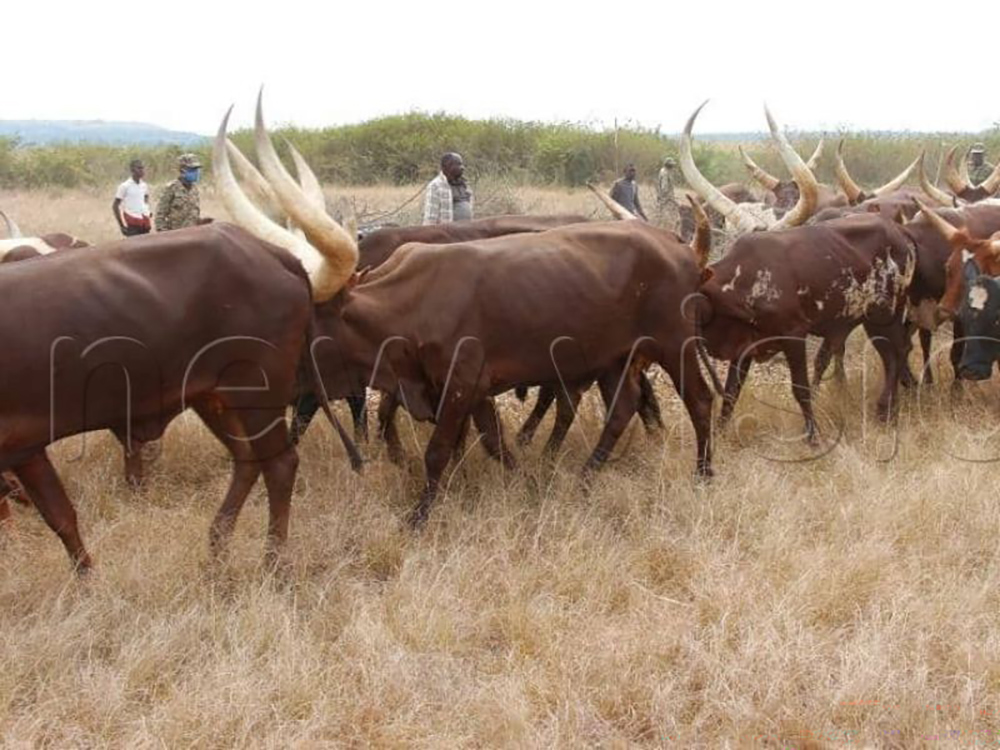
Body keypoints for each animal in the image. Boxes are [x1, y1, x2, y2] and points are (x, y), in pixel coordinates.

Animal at [0, 108, 360, 573]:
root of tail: (278, 256)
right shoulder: (24, 446)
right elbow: (61, 516)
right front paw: (88, 583)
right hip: (215, 397)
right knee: (248, 460)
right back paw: (218, 547)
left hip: (255, 392)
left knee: (280, 463)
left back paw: (273, 563)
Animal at [236, 95, 714, 525]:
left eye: (301, 324)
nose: (256, 377)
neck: (410, 303)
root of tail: (675, 244)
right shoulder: (473, 389)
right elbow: (493, 442)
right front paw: (525, 486)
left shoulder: (459, 384)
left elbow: (438, 450)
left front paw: (419, 516)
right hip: (616, 356)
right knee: (621, 408)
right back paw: (585, 475)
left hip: (674, 344)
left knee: (699, 399)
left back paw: (704, 474)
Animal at [698, 213, 917, 442]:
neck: (744, 281)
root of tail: (899, 230)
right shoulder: (744, 348)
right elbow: (731, 392)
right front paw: (718, 434)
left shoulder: (794, 335)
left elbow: (800, 389)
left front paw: (813, 436)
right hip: (871, 320)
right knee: (893, 355)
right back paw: (897, 403)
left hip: (885, 315)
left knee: (898, 353)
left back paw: (886, 408)